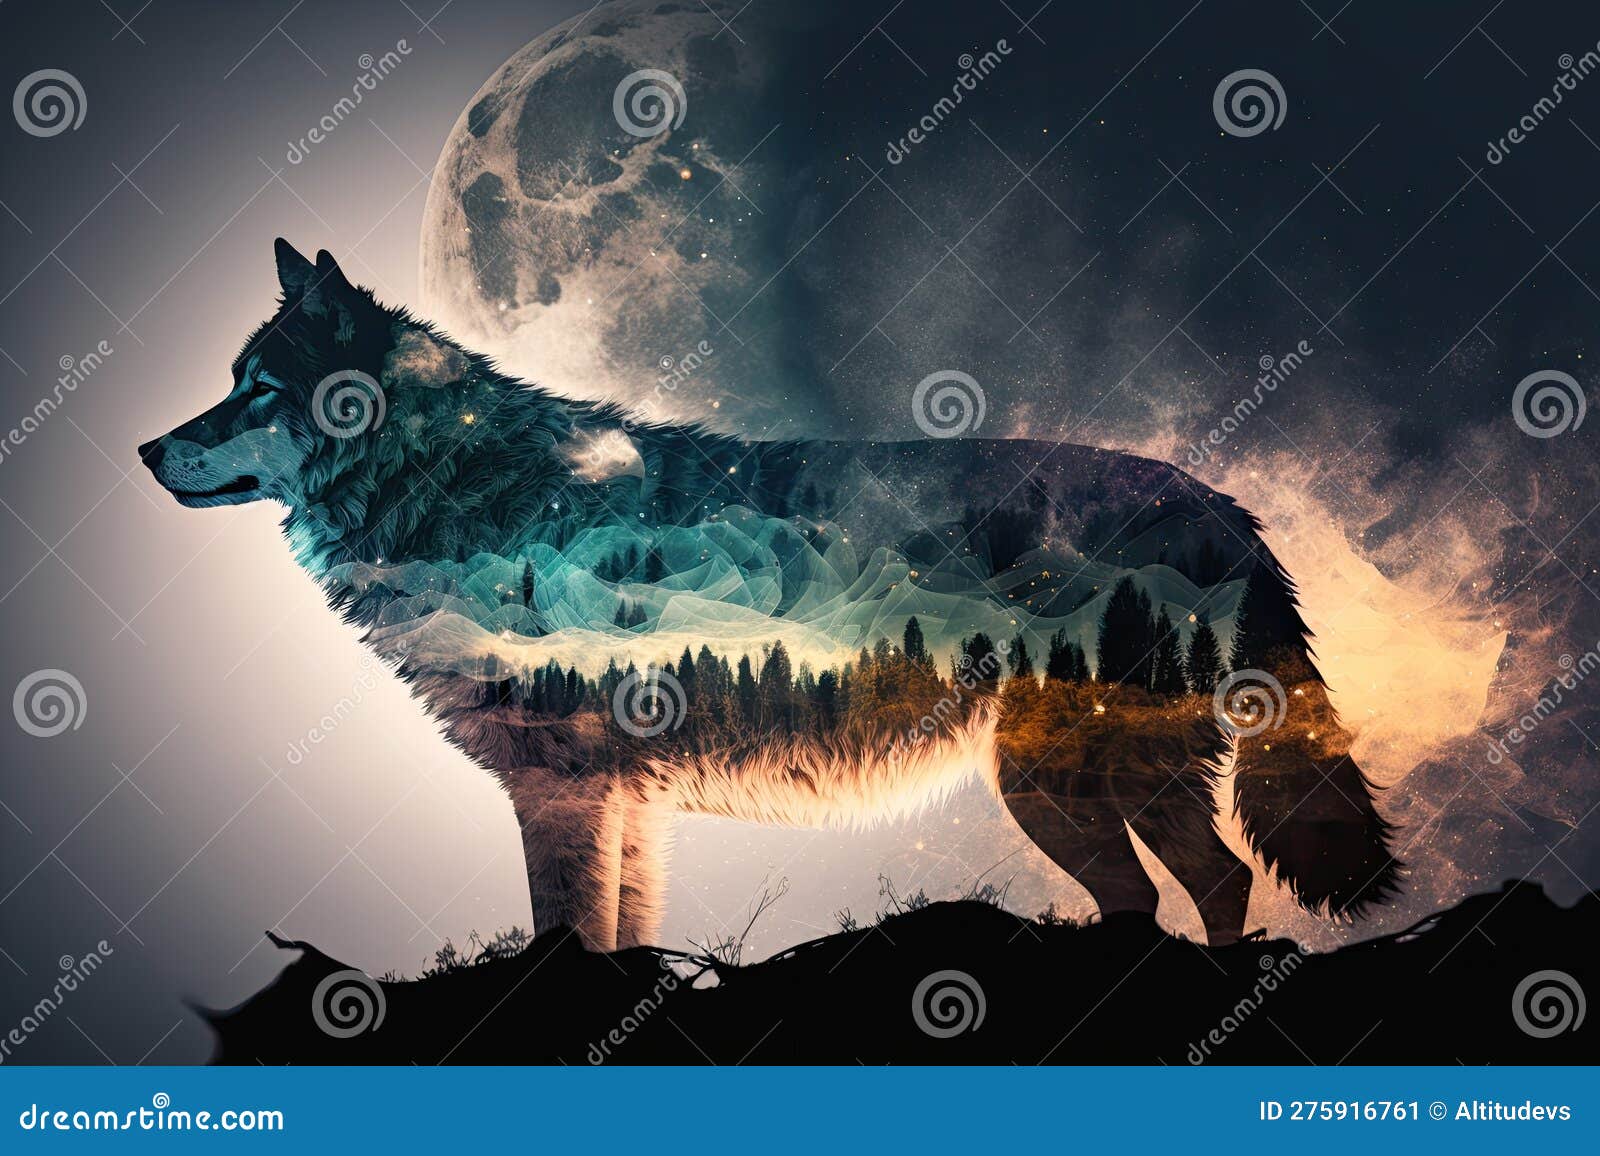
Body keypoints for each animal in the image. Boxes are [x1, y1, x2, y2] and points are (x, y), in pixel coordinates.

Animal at [140, 240, 1400, 951]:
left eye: (256, 390)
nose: (147, 448)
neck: (467, 496)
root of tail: (1219, 501)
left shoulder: (562, 794)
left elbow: (564, 941)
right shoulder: (624, 808)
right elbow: (620, 939)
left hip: (1054, 782)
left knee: (1186, 887)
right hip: (1088, 785)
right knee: (1199, 884)